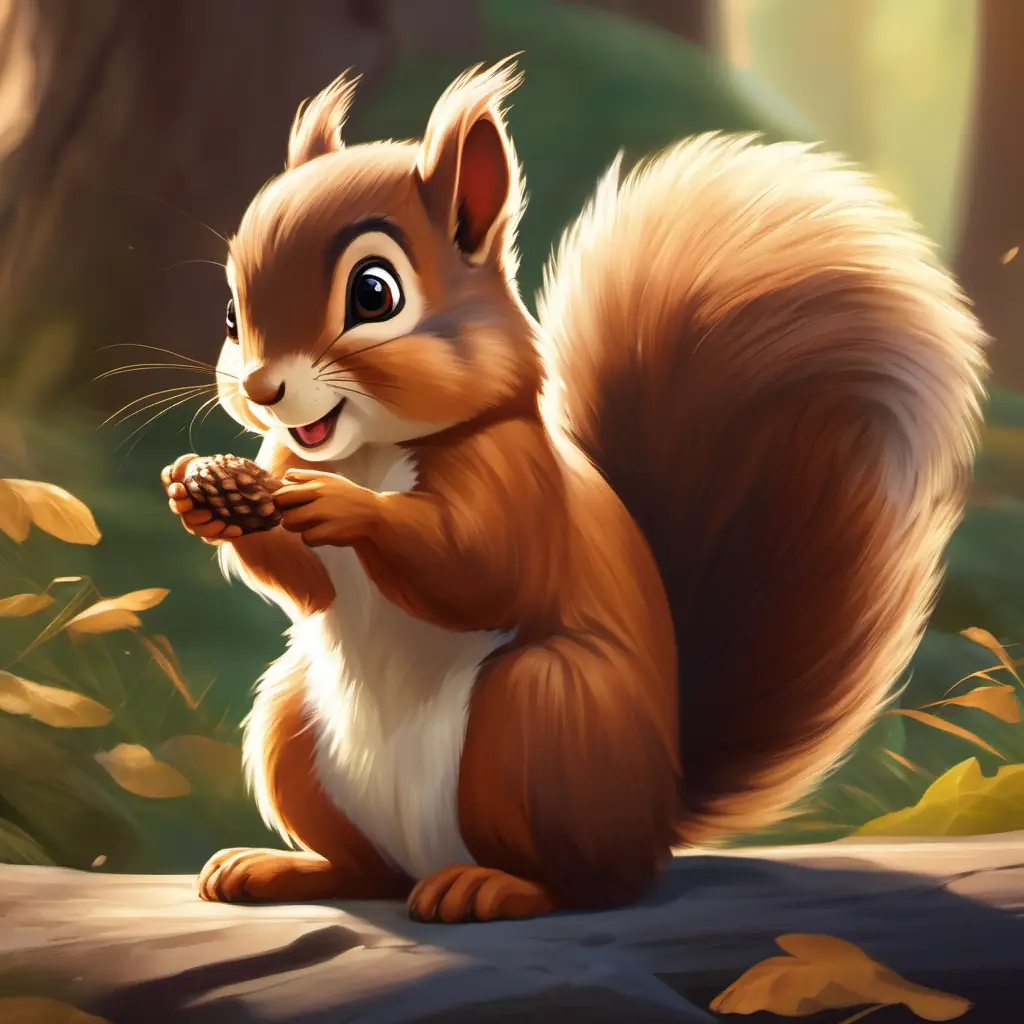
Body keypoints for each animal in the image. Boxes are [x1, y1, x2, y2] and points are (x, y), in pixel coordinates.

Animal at [162, 58, 987, 923]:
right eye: (230, 313)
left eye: (375, 294)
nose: (263, 389)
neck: (367, 450)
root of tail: (657, 816)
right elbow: (308, 587)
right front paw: (199, 497)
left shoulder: (519, 480)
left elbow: (480, 569)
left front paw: (347, 510)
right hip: (292, 723)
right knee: (367, 871)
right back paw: (275, 869)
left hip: (544, 716)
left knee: (586, 885)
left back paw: (492, 886)